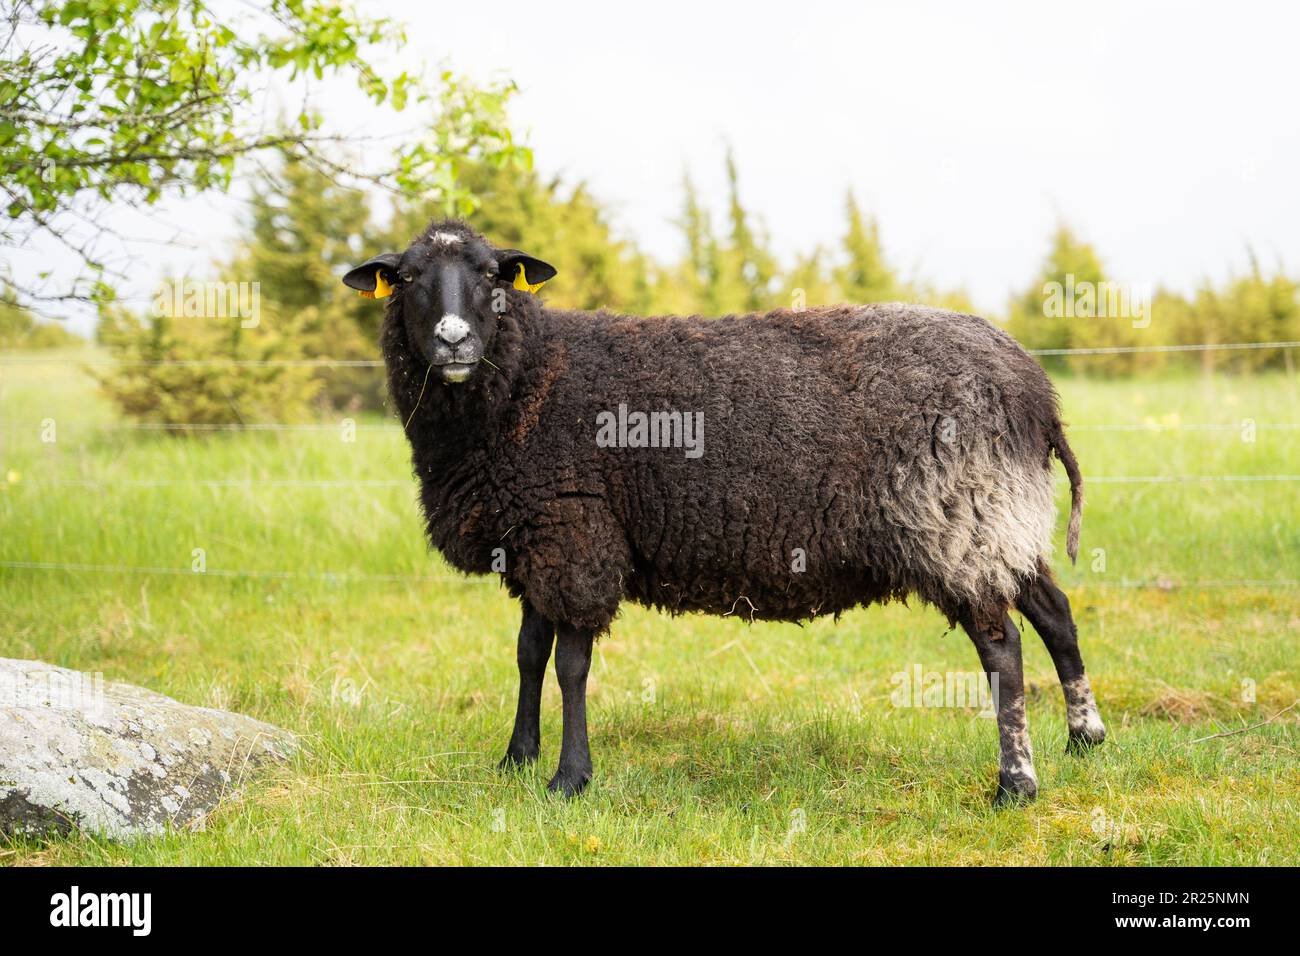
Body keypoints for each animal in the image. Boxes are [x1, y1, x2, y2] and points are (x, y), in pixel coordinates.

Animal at [343, 219, 1106, 804]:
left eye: (490, 276)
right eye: (407, 278)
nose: (454, 342)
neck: (529, 379)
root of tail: (1035, 391)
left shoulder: (576, 535)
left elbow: (570, 666)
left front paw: (569, 779)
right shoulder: (538, 534)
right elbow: (530, 654)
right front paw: (516, 760)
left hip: (957, 519)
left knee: (1003, 647)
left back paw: (1015, 784)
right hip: (996, 517)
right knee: (1055, 612)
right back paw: (1085, 738)